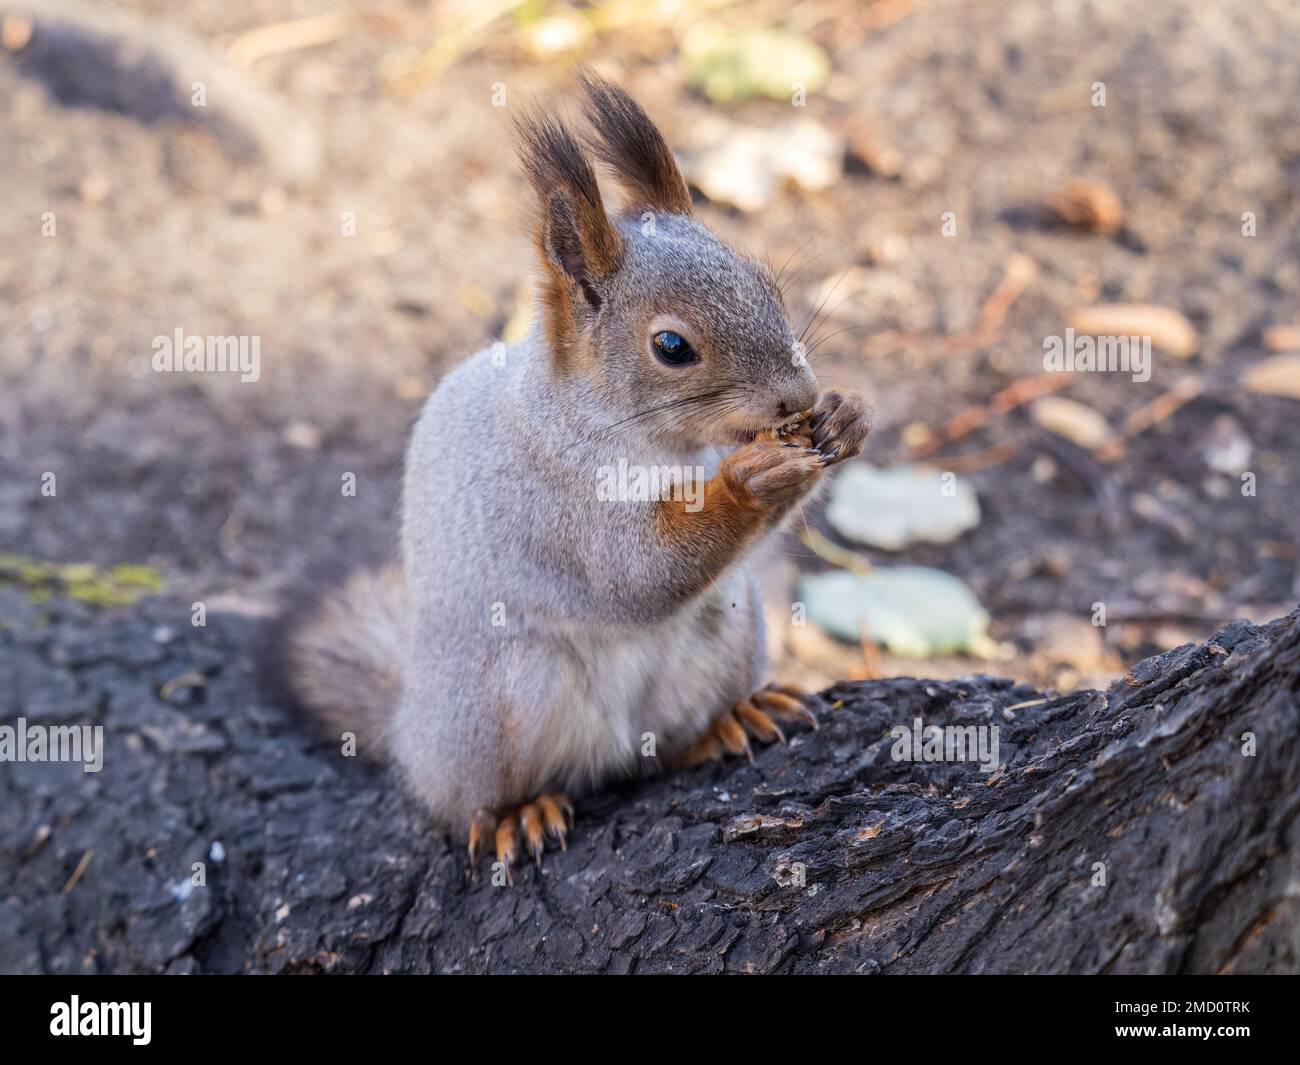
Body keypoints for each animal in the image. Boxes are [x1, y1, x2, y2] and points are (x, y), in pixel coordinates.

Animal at [281, 73, 872, 881]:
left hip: (730, 630)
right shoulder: (557, 496)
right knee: (480, 795)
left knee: (665, 750)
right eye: (672, 346)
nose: (799, 397)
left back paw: (730, 719)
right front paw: (750, 480)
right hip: (507, 697)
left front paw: (843, 419)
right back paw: (516, 811)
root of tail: (408, 730)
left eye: (767, 285)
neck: (670, 444)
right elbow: (637, 573)